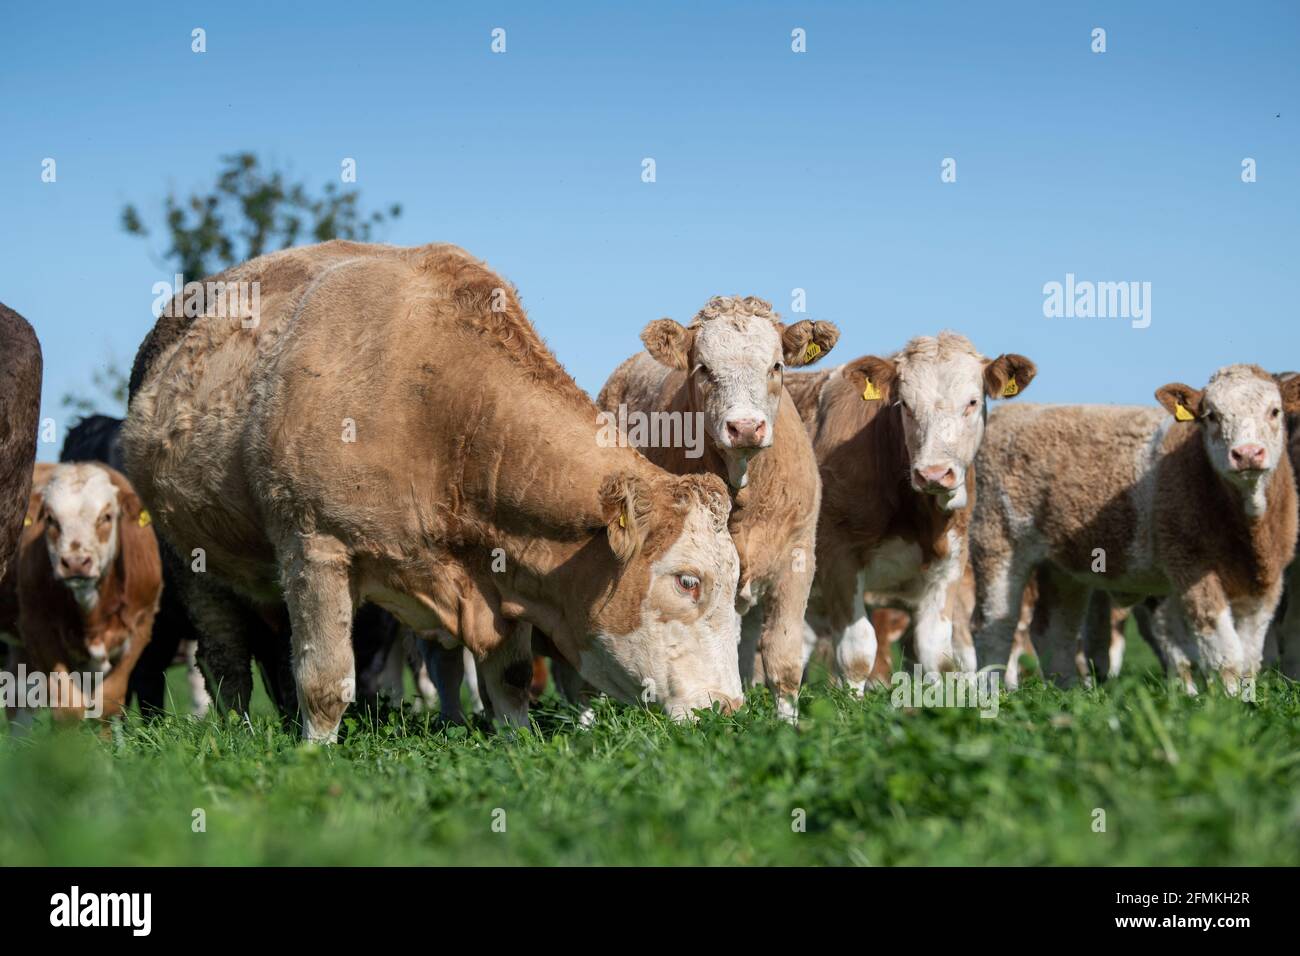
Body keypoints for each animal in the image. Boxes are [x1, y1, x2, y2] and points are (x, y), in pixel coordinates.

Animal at [5, 462, 162, 726]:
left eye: (106, 516)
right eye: (50, 519)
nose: (76, 562)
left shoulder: (142, 623)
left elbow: (108, 703)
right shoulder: (36, 626)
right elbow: (68, 707)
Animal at [121, 240, 744, 741]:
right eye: (688, 581)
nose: (730, 709)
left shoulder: (502, 567)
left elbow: (510, 678)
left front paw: (518, 746)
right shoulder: (314, 546)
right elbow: (325, 681)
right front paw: (312, 756)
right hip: (193, 565)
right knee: (227, 662)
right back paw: (239, 734)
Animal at [595, 295, 839, 719]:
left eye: (776, 366)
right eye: (704, 369)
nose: (745, 427)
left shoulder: (797, 558)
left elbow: (783, 658)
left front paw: (786, 723)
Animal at [785, 331, 1037, 690]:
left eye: (973, 402)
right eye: (905, 404)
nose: (933, 473)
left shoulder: (949, 565)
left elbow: (938, 656)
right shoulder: (840, 559)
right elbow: (857, 652)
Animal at [970, 365, 1300, 694]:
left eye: (1275, 411)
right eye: (1211, 416)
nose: (1247, 453)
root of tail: (1015, 411)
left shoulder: (1269, 579)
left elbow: (1250, 655)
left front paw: (1246, 700)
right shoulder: (1191, 567)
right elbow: (1224, 651)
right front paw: (1227, 701)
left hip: (1062, 567)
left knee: (1055, 630)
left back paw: (1071, 693)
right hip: (996, 543)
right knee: (995, 625)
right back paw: (993, 692)